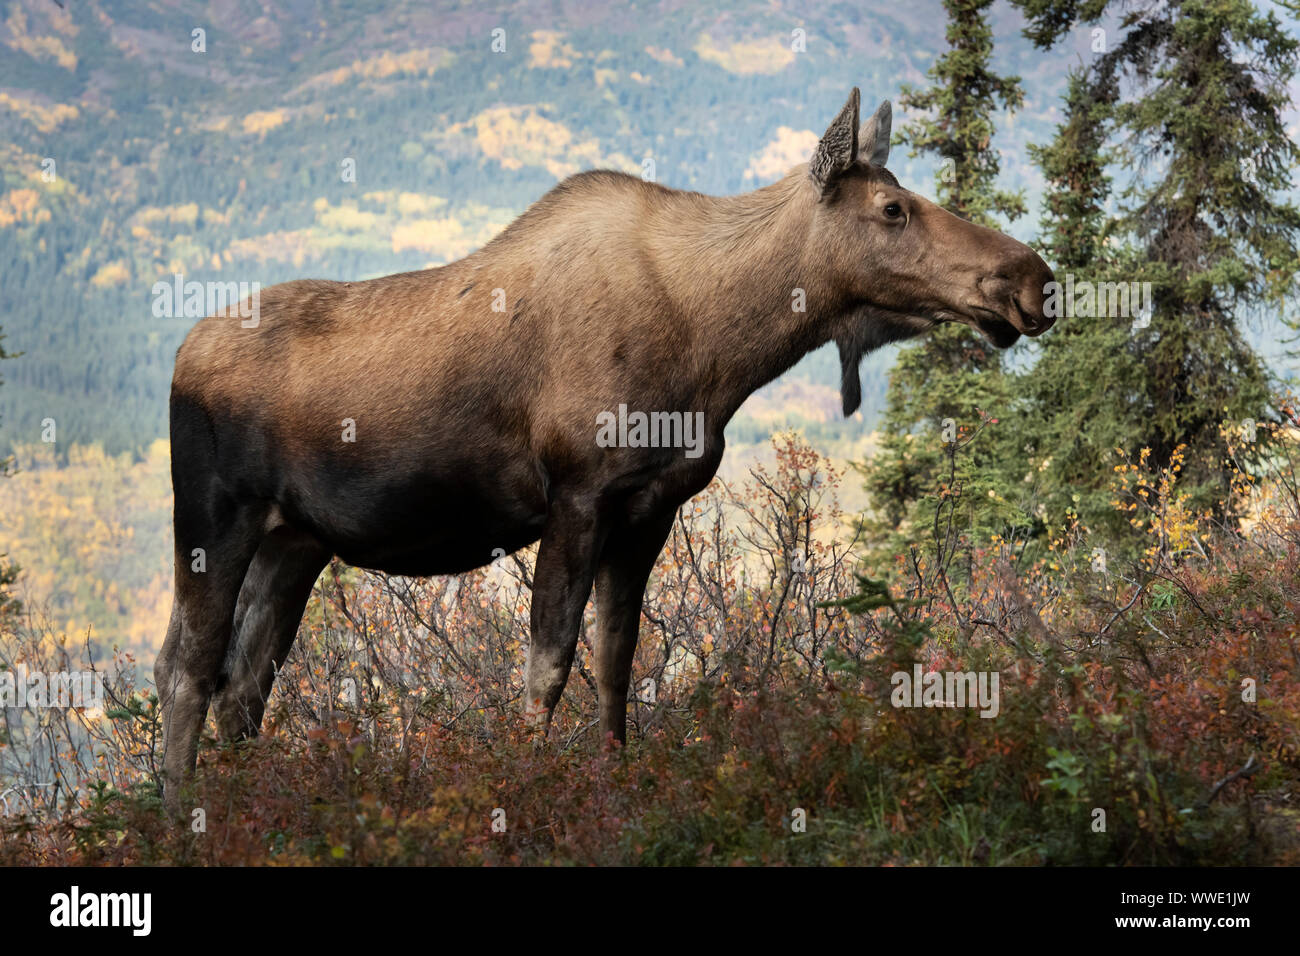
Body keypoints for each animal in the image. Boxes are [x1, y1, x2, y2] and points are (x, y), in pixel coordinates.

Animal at [156, 88, 1055, 811]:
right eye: (893, 209)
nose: (1033, 279)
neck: (721, 348)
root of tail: (180, 357)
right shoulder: (579, 493)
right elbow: (548, 662)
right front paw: (528, 790)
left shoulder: (649, 507)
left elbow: (617, 659)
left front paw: (614, 783)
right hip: (213, 520)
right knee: (186, 671)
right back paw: (178, 817)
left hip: (296, 543)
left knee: (243, 686)